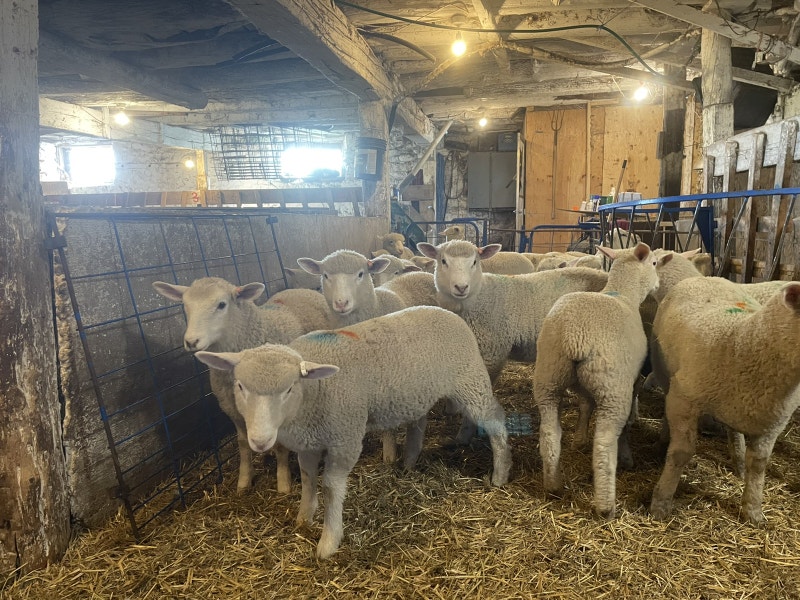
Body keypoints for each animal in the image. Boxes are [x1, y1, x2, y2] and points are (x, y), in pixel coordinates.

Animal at [151, 277, 331, 495]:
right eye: (185, 305)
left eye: (221, 304)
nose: (192, 341)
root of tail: (301, 289)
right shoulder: (233, 409)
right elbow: (243, 444)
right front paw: (244, 481)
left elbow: (280, 446)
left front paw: (283, 483)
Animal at [194, 305, 512, 559]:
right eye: (240, 386)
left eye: (289, 389)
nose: (260, 441)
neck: (314, 392)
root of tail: (447, 312)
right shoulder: (308, 443)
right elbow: (308, 479)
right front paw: (303, 518)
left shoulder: (345, 437)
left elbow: (331, 487)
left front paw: (329, 541)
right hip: (419, 392)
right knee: (419, 424)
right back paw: (410, 461)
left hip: (469, 378)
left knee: (495, 421)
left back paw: (500, 473)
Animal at [417, 240, 609, 441]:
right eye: (443, 261)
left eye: (475, 262)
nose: (461, 287)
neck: (478, 299)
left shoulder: (492, 353)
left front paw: (465, 434)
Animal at [533, 242, 659, 518]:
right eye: (654, 263)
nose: (658, 285)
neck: (623, 293)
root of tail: (573, 337)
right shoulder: (631, 381)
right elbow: (625, 420)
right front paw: (626, 453)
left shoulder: (582, 386)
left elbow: (584, 406)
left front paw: (579, 439)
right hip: (612, 386)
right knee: (603, 442)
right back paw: (606, 505)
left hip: (549, 375)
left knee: (549, 431)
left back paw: (553, 485)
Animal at [649, 277, 800, 524]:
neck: (740, 340)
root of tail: (704, 277)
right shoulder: (683, 400)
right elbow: (681, 453)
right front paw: (661, 503)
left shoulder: (772, 424)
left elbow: (759, 465)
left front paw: (753, 510)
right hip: (664, 371)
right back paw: (663, 440)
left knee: (734, 432)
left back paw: (738, 463)